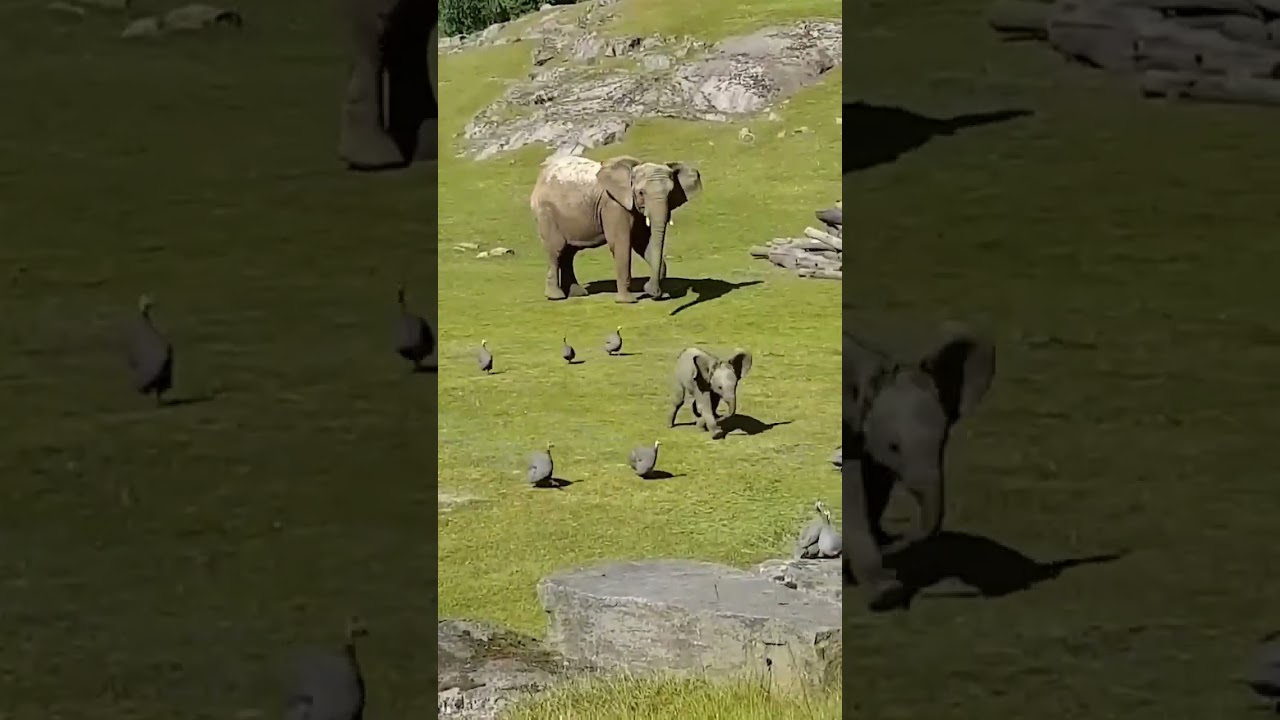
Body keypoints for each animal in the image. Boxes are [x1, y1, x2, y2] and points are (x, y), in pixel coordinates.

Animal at [529, 155, 702, 303]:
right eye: (641, 193)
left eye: (670, 193)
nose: (654, 292)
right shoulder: (614, 205)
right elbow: (621, 244)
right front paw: (627, 301)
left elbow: (643, 244)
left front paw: (657, 293)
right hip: (546, 213)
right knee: (556, 251)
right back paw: (556, 297)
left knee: (569, 253)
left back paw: (577, 294)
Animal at [842, 323, 995, 611]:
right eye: (894, 446)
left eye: (943, 442)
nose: (897, 539)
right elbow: (851, 493)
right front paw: (886, 593)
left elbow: (876, 484)